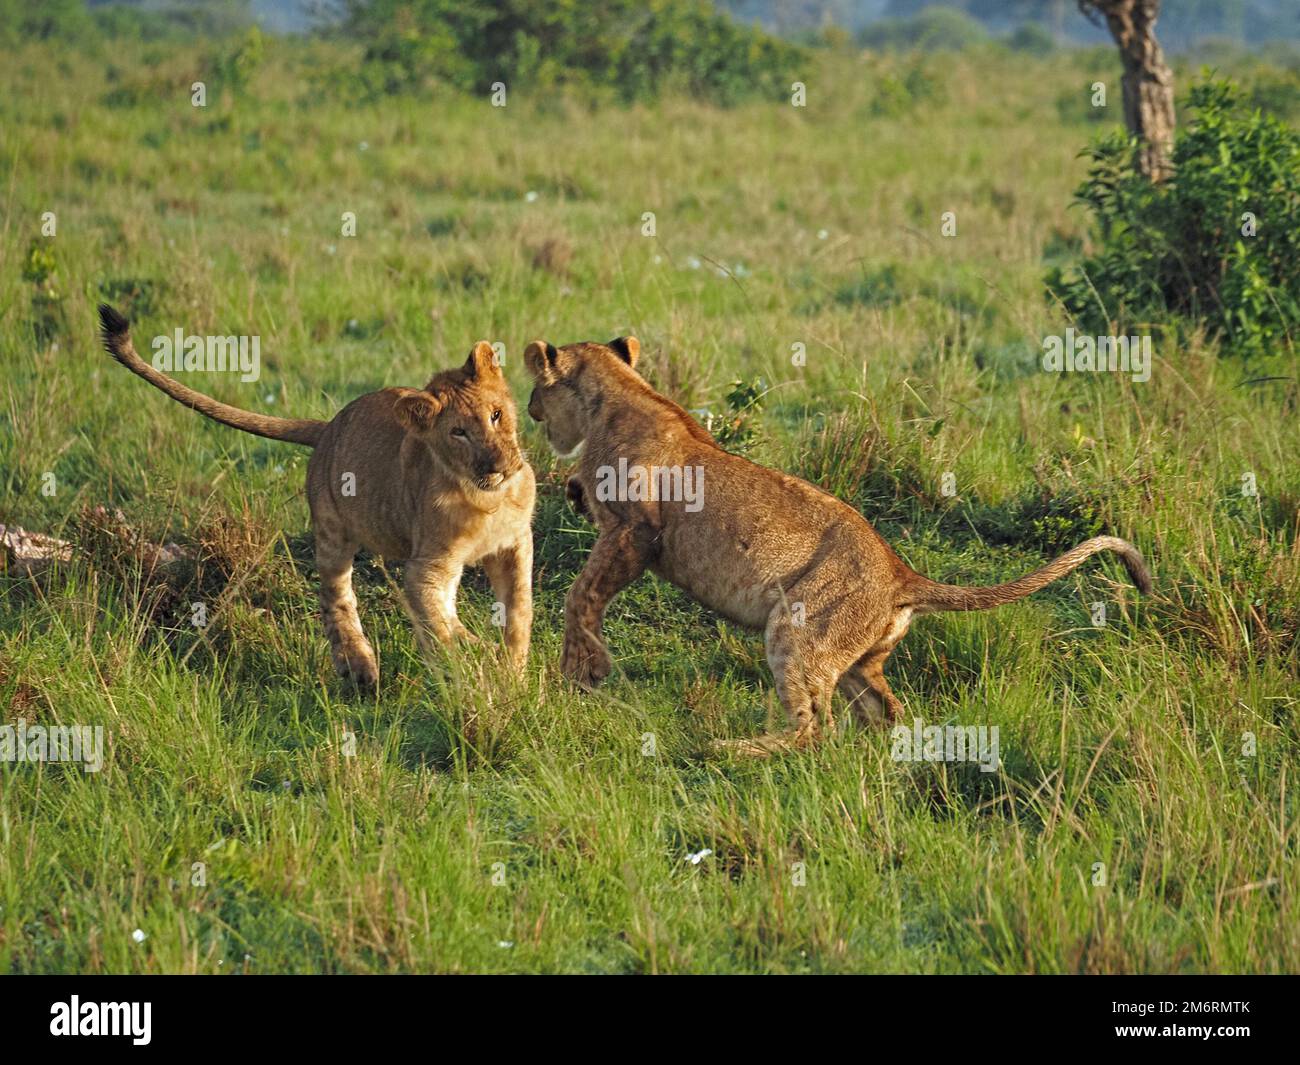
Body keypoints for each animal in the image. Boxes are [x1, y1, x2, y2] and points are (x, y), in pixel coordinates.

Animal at [97, 305, 535, 686]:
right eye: (458, 433)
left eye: (496, 415)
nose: (499, 466)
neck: (487, 499)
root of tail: (327, 429)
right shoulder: (427, 567)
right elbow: (442, 625)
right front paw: (480, 655)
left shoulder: (515, 543)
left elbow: (519, 609)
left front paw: (513, 670)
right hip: (331, 533)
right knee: (335, 599)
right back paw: (358, 668)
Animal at [524, 336, 1152, 756]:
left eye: (534, 387)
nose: (528, 410)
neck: (619, 395)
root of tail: (901, 574)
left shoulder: (634, 534)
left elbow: (580, 596)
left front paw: (580, 671)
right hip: (856, 658)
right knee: (884, 710)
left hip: (796, 630)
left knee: (814, 731)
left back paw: (733, 750)